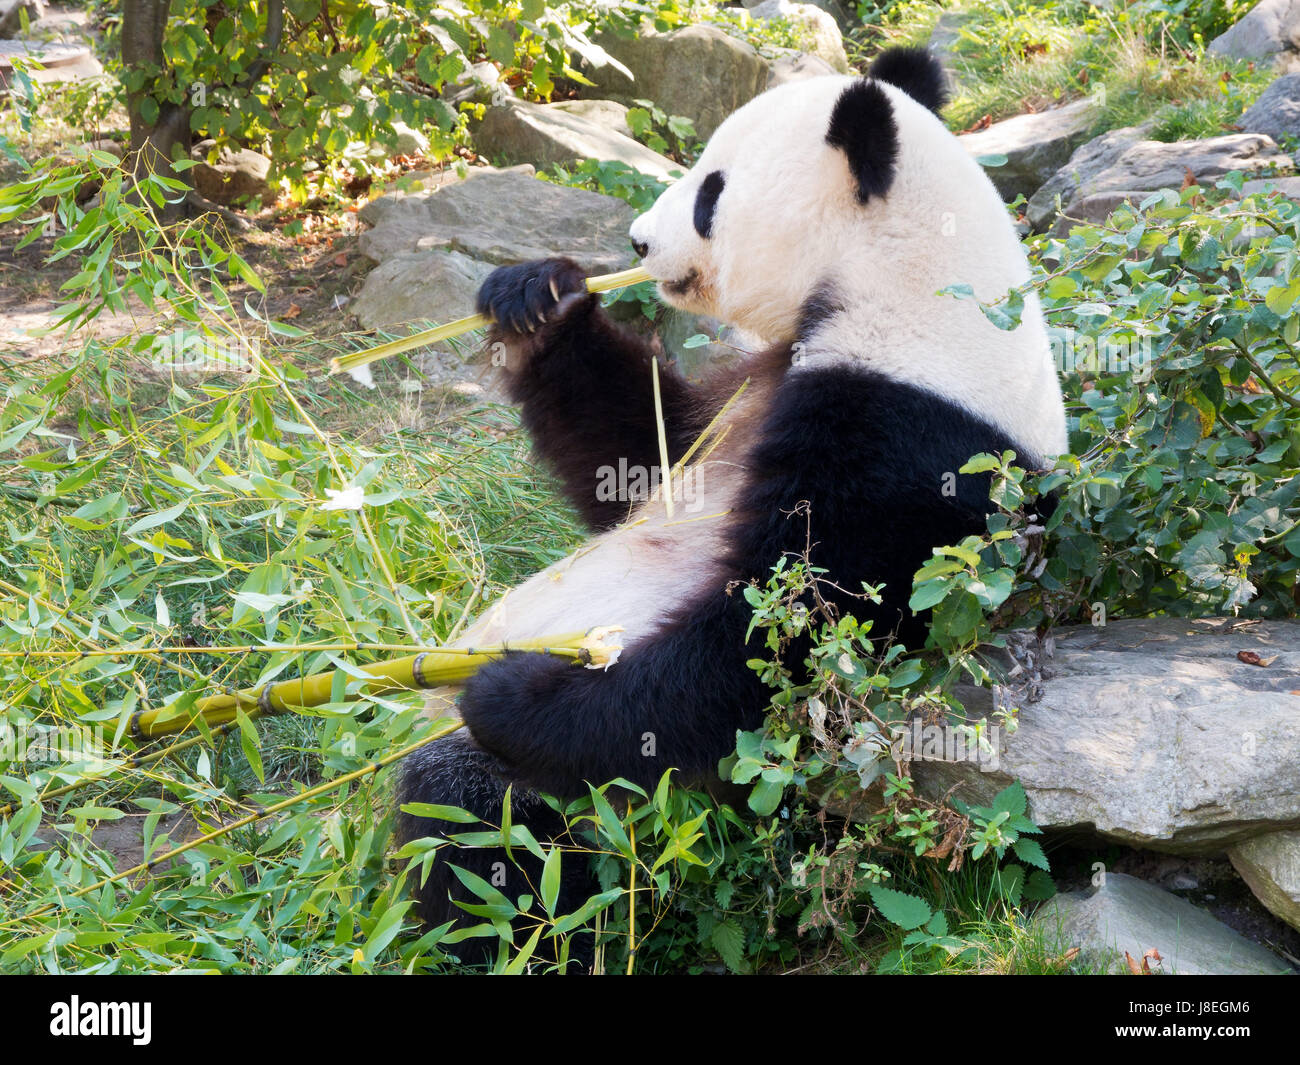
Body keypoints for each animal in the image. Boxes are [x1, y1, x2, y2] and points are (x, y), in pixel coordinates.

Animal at [395, 46, 1067, 964]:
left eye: (711, 191)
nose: (638, 241)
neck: (906, 280)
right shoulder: (755, 384)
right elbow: (637, 456)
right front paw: (538, 297)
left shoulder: (916, 437)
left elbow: (772, 640)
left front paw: (514, 686)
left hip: (662, 820)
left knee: (491, 827)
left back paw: (511, 930)